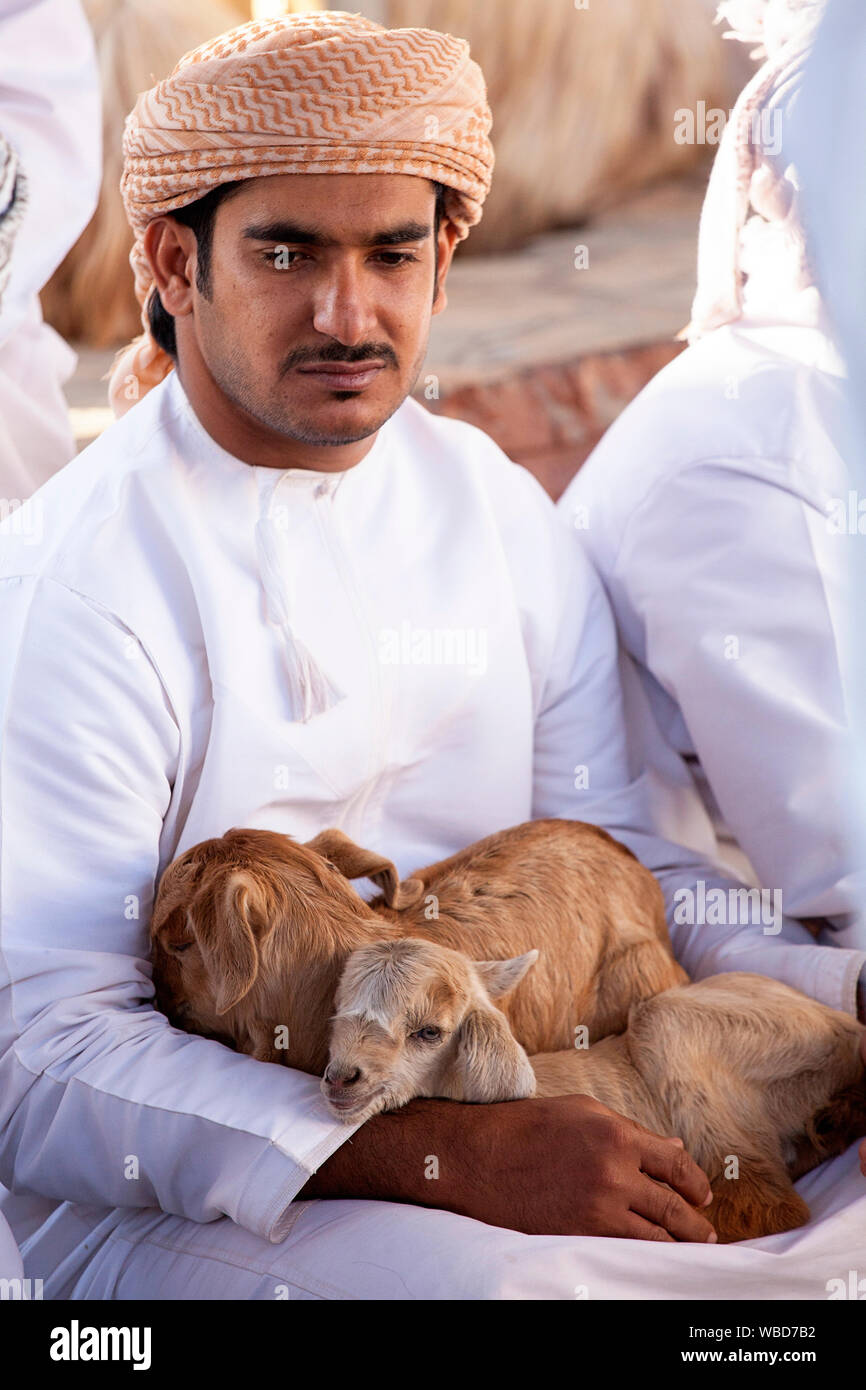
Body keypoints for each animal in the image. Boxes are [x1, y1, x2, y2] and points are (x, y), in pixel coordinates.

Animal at [323, 938, 866, 1243]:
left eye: (429, 1032)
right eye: (338, 1012)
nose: (341, 1078)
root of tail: (848, 1031)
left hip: (679, 1027)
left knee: (766, 1202)